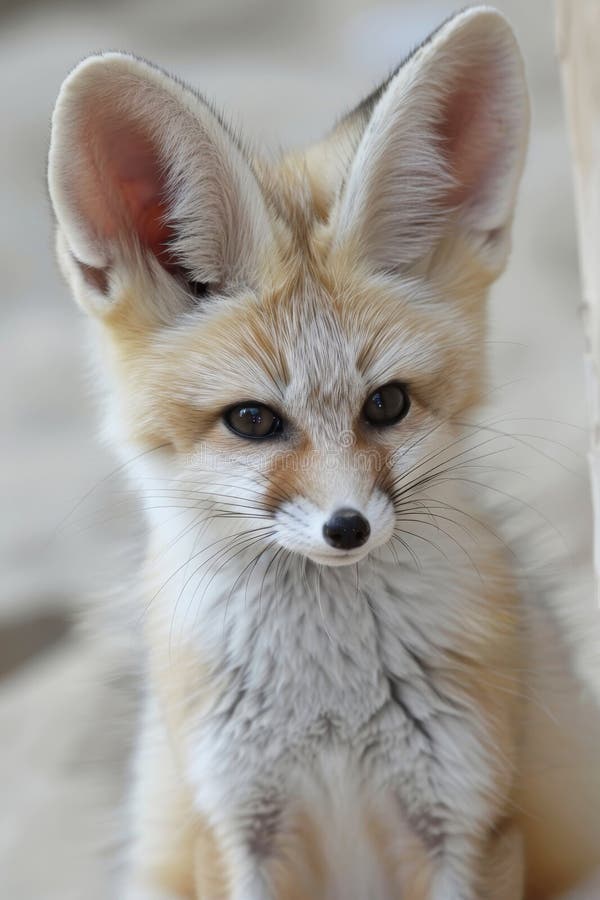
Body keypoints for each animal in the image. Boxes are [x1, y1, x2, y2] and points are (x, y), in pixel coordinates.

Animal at [47, 6, 535, 899]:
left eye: (387, 404)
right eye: (251, 420)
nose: (347, 528)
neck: (331, 706)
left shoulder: (471, 817)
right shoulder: (232, 823)